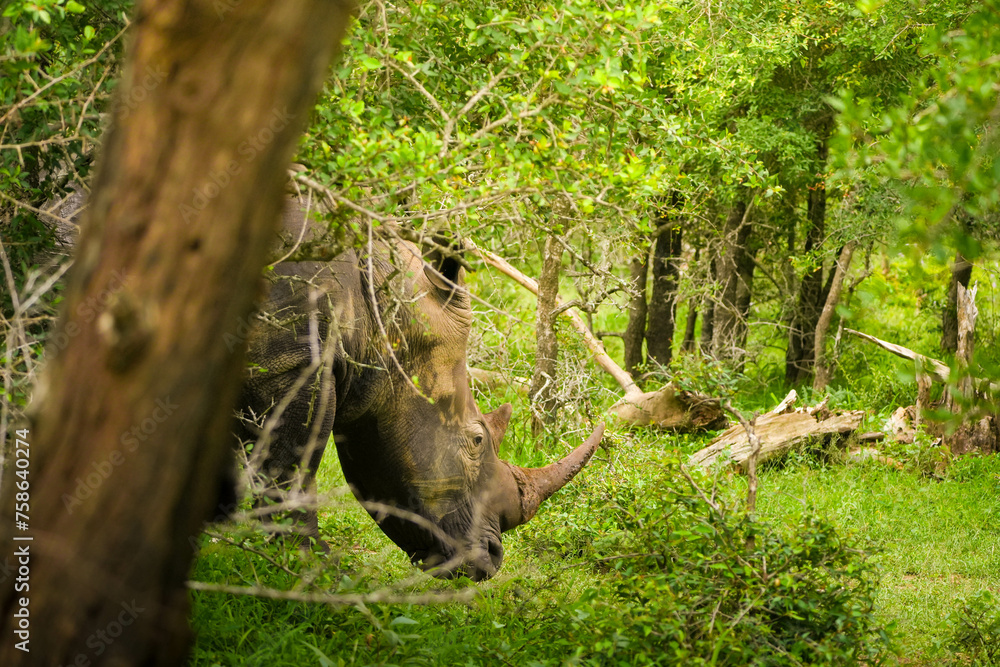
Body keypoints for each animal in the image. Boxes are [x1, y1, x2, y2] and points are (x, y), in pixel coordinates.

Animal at [235, 202, 603, 581]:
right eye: (476, 440)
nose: (492, 558)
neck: (382, 312)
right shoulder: (298, 363)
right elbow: (292, 464)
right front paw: (310, 566)